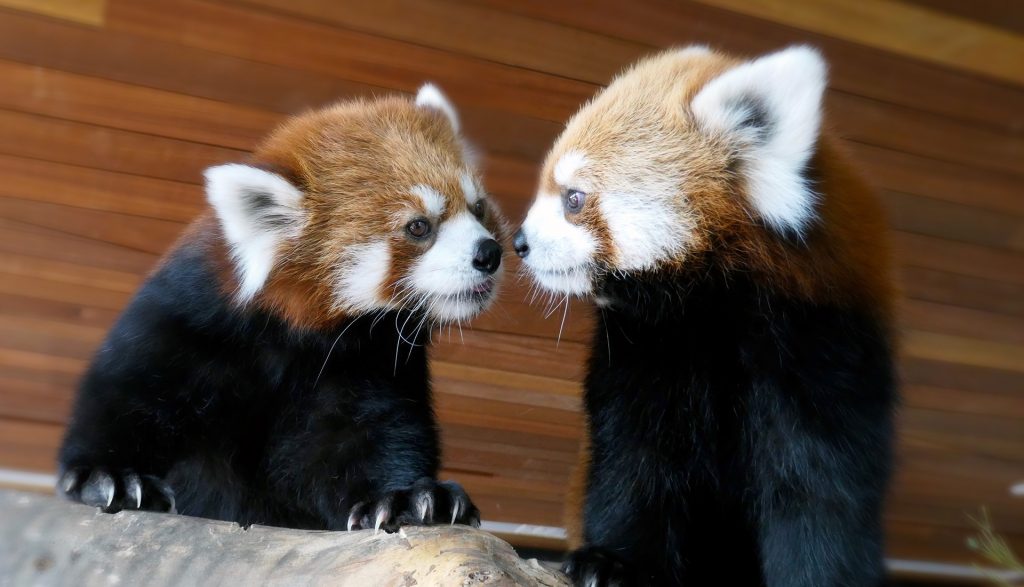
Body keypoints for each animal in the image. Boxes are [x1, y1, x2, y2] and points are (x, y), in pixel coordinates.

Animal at [58, 85, 505, 533]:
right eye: (418, 226)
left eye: (478, 208)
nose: (490, 253)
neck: (290, 341)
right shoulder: (183, 321)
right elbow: (125, 392)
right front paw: (108, 475)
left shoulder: (368, 363)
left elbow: (376, 436)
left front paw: (407, 497)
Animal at [515, 46, 896, 586]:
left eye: (574, 198)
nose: (519, 243)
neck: (710, 304)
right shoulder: (645, 348)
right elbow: (633, 463)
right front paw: (613, 562)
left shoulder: (824, 348)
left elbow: (821, 492)